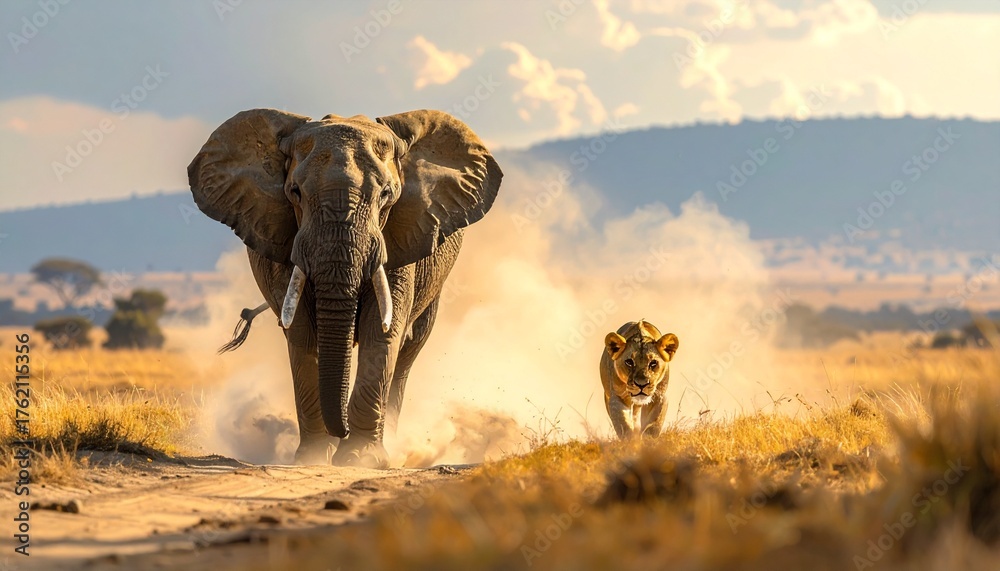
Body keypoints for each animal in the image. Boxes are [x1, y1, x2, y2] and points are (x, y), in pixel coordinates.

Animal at [187, 108, 503, 468]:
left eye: (387, 195)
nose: (343, 430)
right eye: (294, 192)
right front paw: (312, 458)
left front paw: (358, 459)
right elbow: (302, 332)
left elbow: (382, 331)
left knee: (408, 351)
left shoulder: (400, 239)